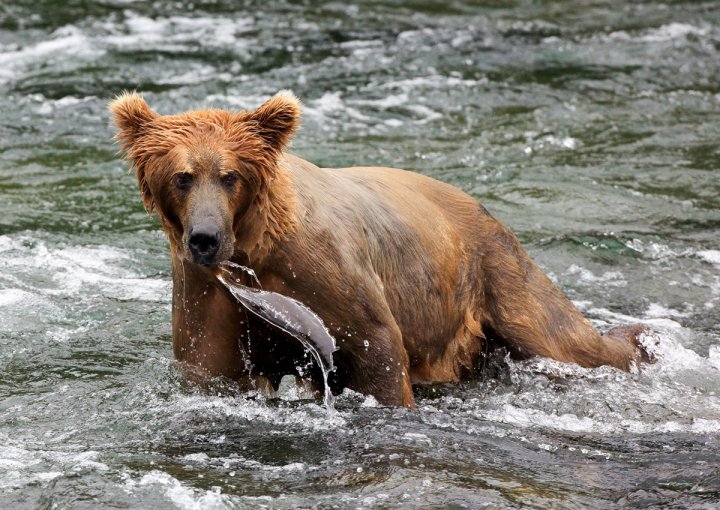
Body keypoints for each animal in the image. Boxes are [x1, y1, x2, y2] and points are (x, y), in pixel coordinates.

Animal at [110, 90, 648, 408]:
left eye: (230, 175)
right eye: (182, 176)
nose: (205, 237)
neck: (251, 255)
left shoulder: (322, 271)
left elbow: (377, 349)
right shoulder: (208, 298)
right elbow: (210, 368)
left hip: (497, 272)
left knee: (565, 340)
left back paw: (634, 340)